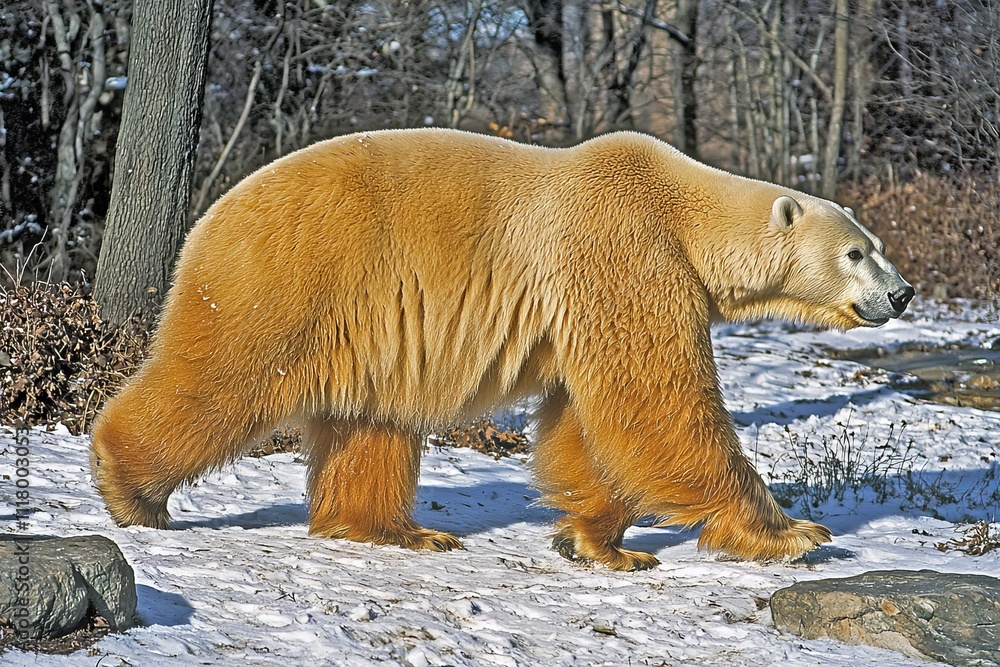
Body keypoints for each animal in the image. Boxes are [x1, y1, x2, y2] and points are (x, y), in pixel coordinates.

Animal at [91, 128, 913, 571]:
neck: (682, 207)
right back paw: (129, 485)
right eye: (857, 253)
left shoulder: (593, 295)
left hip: (368, 322)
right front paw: (794, 532)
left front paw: (600, 543)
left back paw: (400, 530)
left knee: (375, 421)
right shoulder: (624, 252)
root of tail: (210, 215)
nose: (904, 293)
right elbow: (655, 402)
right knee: (221, 379)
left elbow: (587, 418)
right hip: (289, 278)